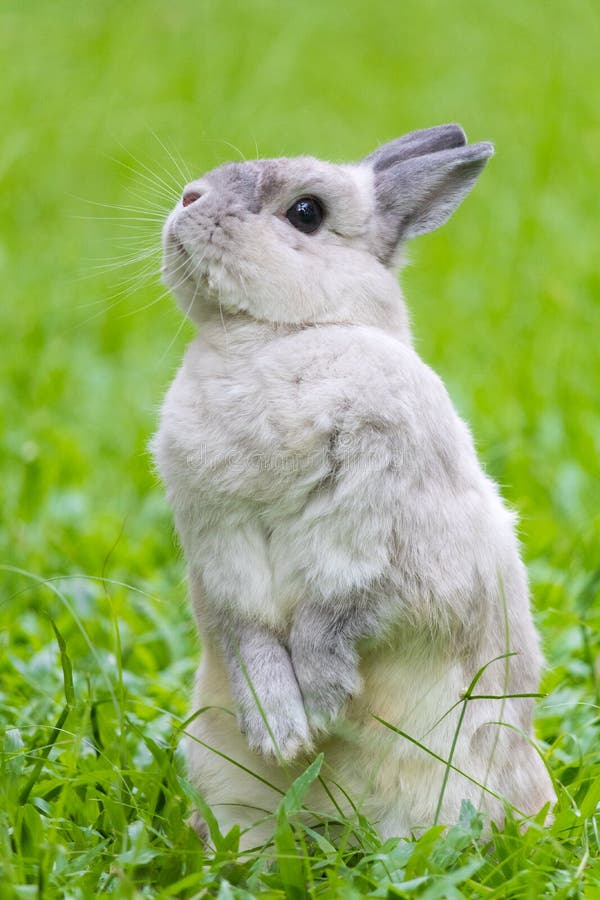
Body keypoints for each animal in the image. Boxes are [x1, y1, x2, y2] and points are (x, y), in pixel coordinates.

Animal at [152, 124, 556, 847]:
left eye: (306, 213)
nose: (189, 197)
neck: (273, 338)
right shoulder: (221, 560)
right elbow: (249, 636)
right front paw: (282, 731)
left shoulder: (389, 552)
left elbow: (336, 616)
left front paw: (321, 703)